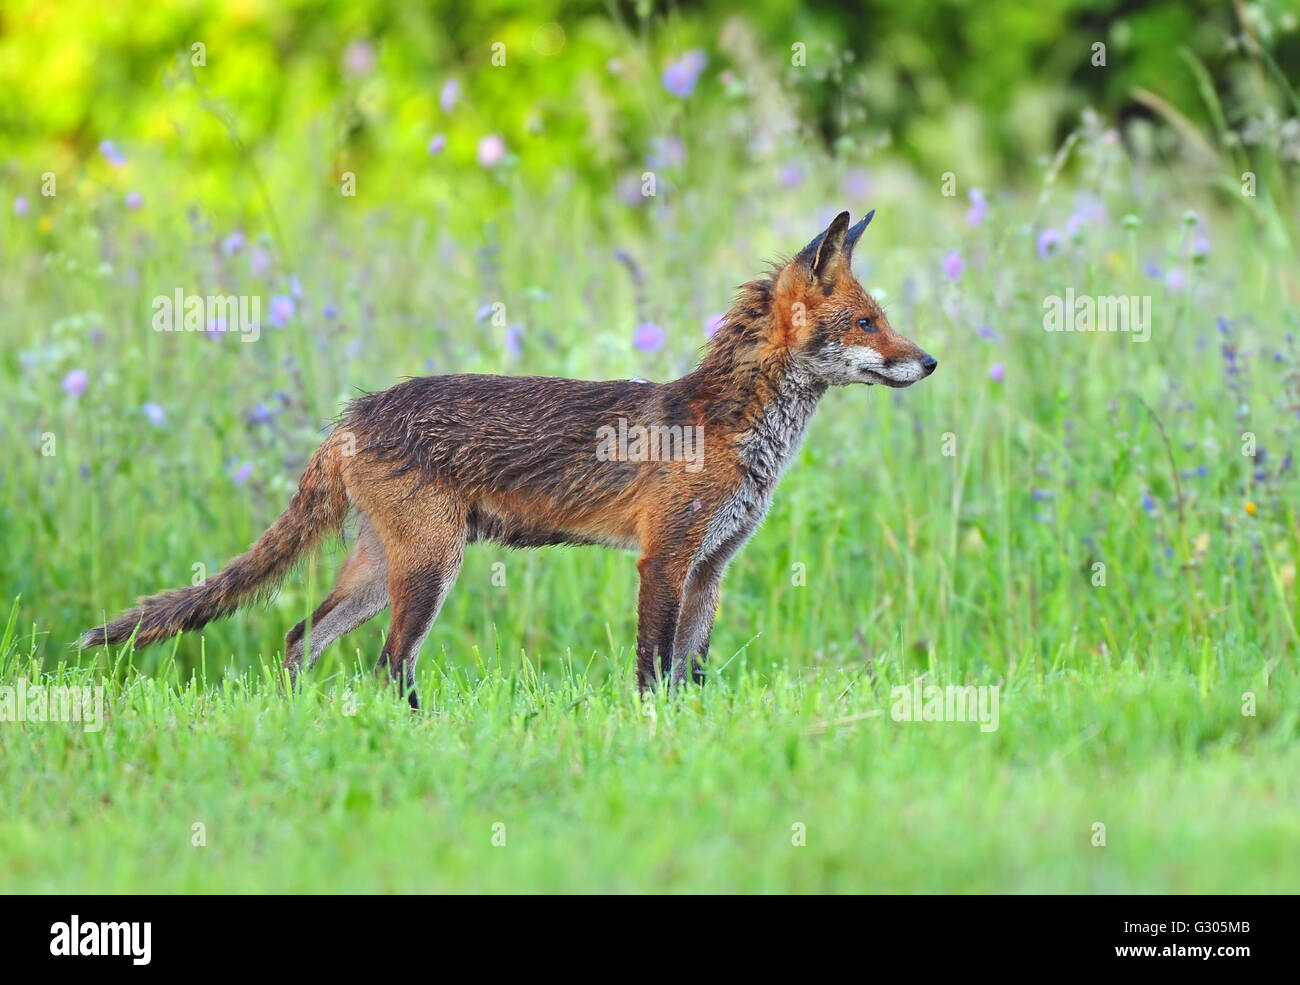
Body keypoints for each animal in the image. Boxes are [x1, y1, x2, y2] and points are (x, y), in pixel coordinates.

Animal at [80, 210, 937, 707]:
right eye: (867, 322)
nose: (929, 361)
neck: (728, 427)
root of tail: (353, 411)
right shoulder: (664, 557)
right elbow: (651, 667)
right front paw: (652, 733)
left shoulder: (711, 566)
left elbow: (691, 672)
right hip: (430, 567)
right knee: (388, 663)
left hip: (381, 567)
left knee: (300, 638)